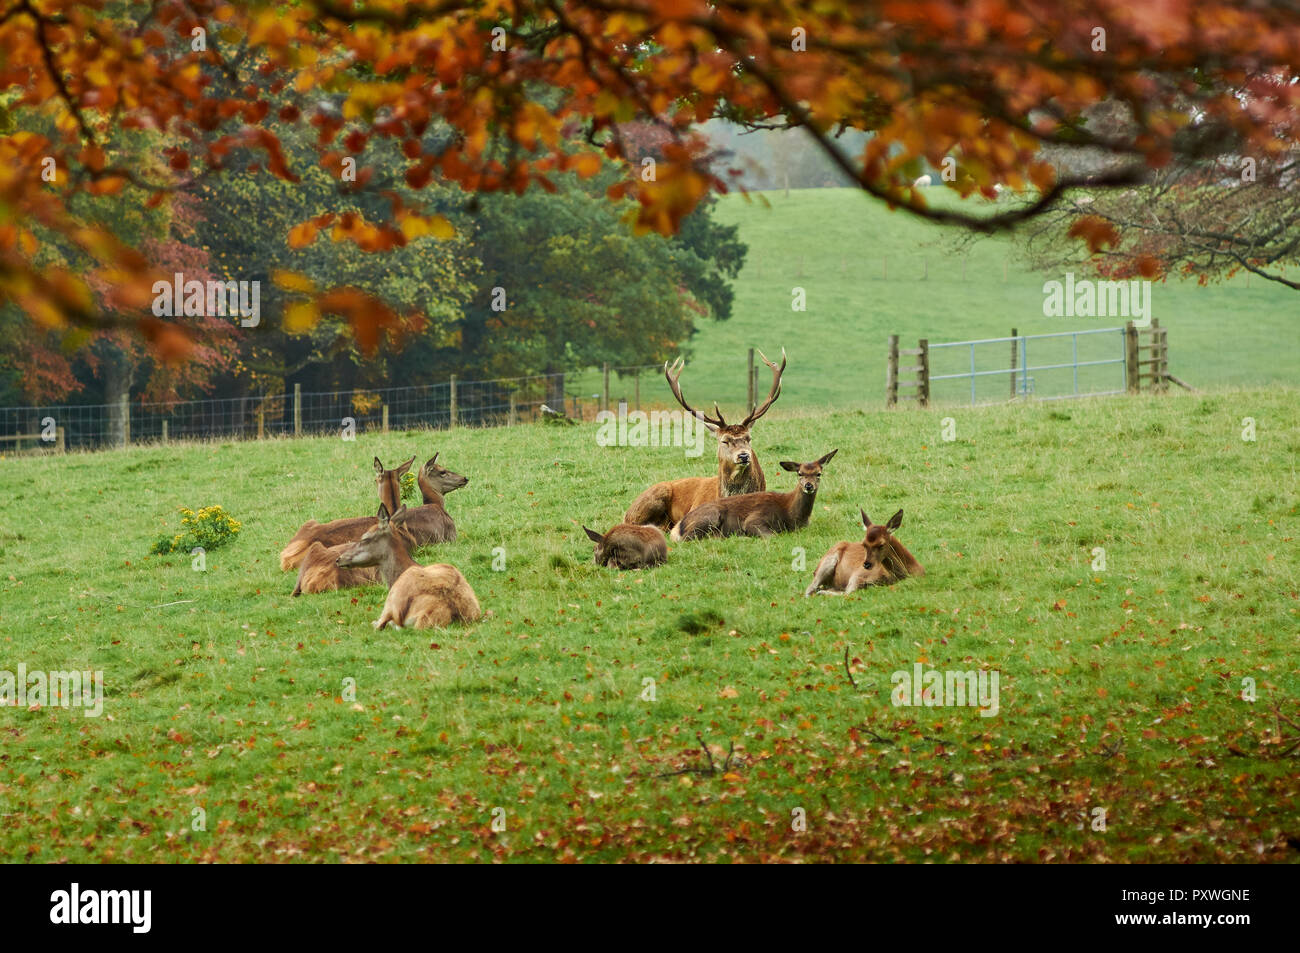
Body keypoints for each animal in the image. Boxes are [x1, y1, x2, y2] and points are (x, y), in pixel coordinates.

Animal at [670, 450, 837, 541]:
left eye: (818, 473)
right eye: (800, 473)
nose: (808, 486)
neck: (791, 515)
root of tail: (678, 527)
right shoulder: (755, 518)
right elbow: (773, 535)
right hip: (710, 515)